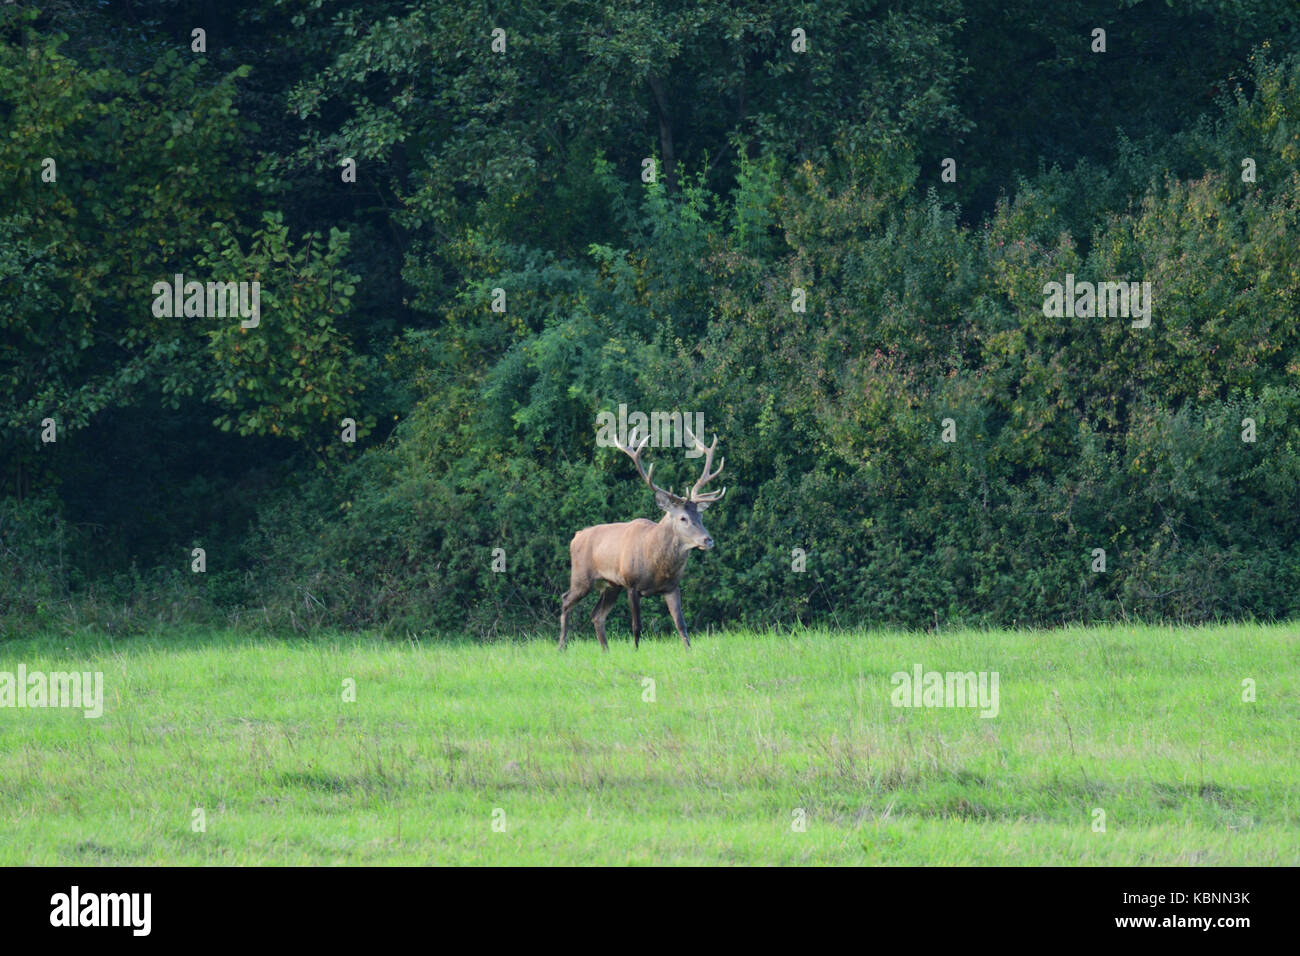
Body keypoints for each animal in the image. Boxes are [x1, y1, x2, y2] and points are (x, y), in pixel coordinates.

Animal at [559, 428, 726, 651]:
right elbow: (637, 626)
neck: (658, 566)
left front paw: (690, 652)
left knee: (596, 615)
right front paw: (636, 651)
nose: (708, 540)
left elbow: (681, 625)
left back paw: (606, 651)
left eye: (700, 516)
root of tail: (576, 537)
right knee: (565, 600)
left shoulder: (672, 587)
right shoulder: (631, 584)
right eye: (683, 518)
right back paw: (561, 647)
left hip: (611, 585)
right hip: (581, 576)